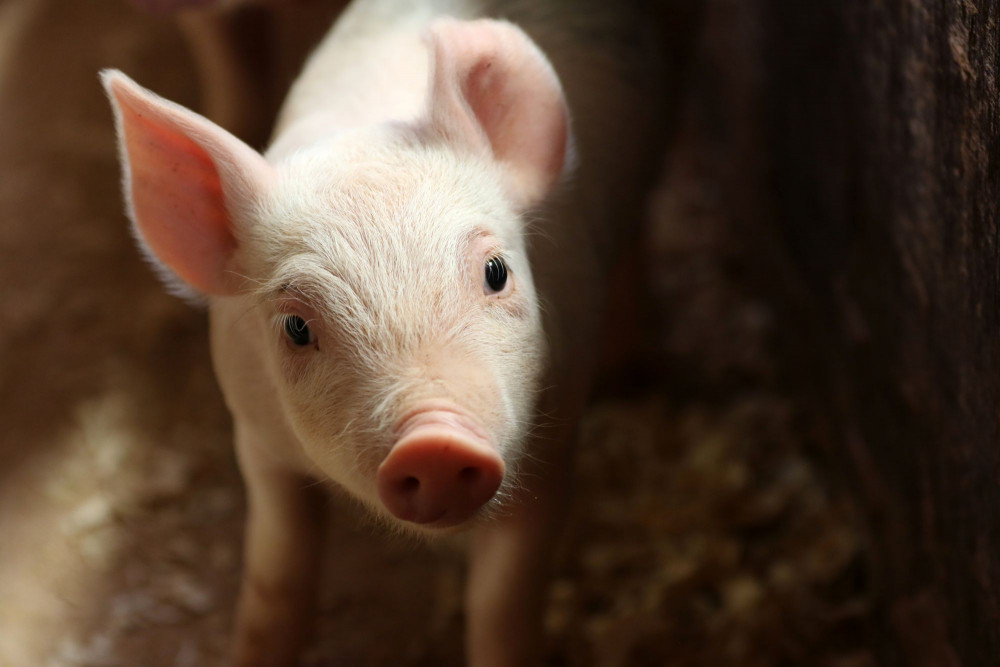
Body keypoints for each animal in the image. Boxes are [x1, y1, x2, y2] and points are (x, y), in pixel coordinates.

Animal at [102, 0, 664, 663]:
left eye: (496, 272)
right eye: (296, 326)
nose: (436, 442)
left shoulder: (554, 440)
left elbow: (502, 608)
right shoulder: (256, 436)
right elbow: (275, 581)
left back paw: (629, 369)